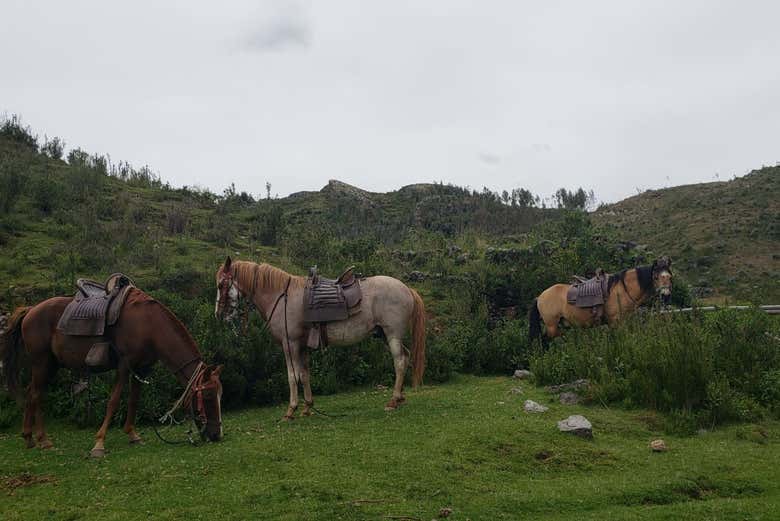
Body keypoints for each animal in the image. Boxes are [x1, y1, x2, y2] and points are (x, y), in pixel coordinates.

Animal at [0, 288, 224, 457]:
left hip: (51, 365)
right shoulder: (125, 366)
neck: (149, 325)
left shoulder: (142, 369)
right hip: (42, 362)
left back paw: (30, 438)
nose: (216, 435)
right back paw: (43, 440)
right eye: (208, 396)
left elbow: (134, 401)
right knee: (37, 395)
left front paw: (133, 435)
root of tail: (31, 310)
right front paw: (99, 444)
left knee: (32, 392)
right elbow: (114, 401)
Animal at [214, 257, 426, 419]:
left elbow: (292, 376)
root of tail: (407, 289)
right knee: (406, 357)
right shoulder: (302, 346)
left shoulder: (290, 344)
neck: (282, 296)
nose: (218, 315)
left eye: (220, 284)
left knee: (399, 361)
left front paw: (290, 410)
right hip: (384, 335)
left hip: (392, 334)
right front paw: (308, 407)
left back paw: (393, 400)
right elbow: (304, 375)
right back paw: (400, 398)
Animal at [529, 257, 673, 341]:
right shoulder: (615, 322)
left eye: (670, 276)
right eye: (656, 277)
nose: (666, 295)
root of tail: (540, 296)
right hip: (552, 326)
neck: (622, 289)